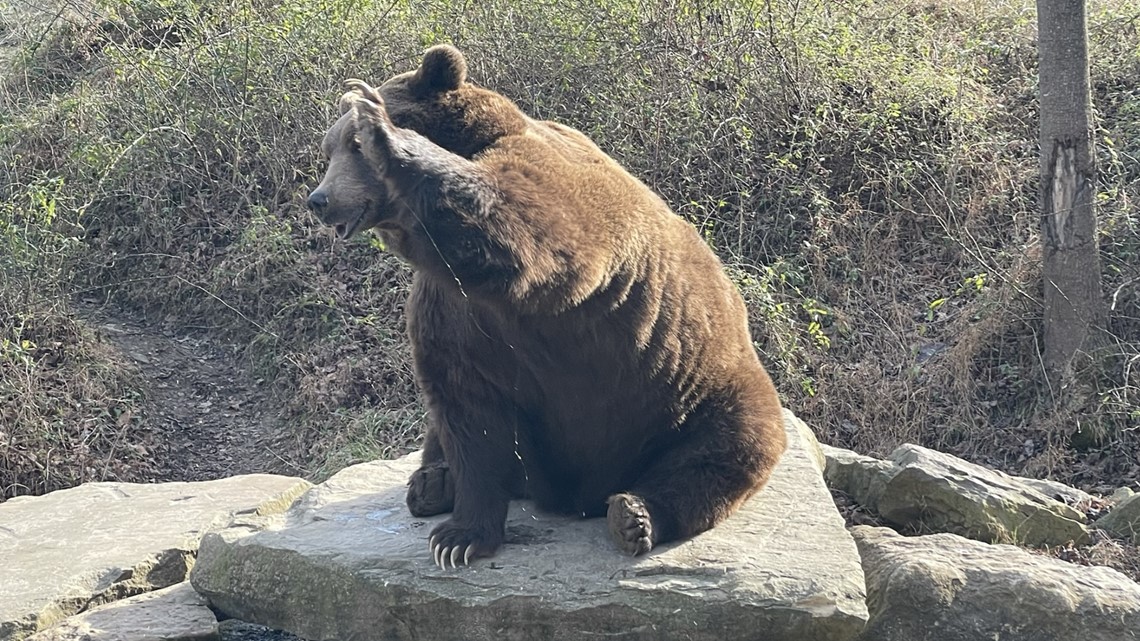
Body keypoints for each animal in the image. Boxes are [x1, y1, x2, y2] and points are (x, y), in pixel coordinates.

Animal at [307, 45, 787, 569]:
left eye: (353, 144)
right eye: (328, 150)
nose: (319, 200)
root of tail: (581, 496)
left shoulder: (555, 212)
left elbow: (530, 224)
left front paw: (384, 127)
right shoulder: (453, 308)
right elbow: (465, 409)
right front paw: (459, 537)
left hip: (690, 392)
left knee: (728, 446)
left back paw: (635, 514)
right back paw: (432, 483)